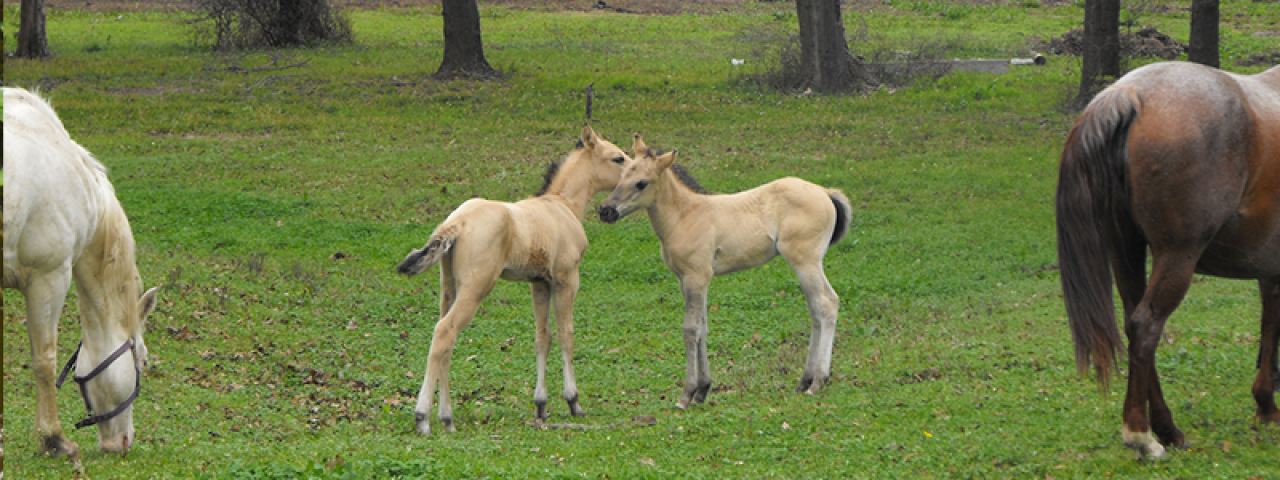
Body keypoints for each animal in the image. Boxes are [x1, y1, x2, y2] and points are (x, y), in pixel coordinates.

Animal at [397, 125, 628, 436]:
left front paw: (541, 404)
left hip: (449, 288)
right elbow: (566, 335)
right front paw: (573, 400)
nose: (639, 178)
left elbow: (543, 336)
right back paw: (423, 417)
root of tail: (456, 222)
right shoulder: (567, 279)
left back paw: (447, 418)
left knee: (445, 339)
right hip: (476, 288)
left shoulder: (539, 283)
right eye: (618, 158)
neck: (562, 205)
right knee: (445, 332)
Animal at [598, 135, 851, 408]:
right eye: (622, 173)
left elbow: (690, 329)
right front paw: (703, 390)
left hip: (805, 262)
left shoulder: (696, 277)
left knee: (826, 305)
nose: (605, 211)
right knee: (817, 310)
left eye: (641, 183)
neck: (685, 215)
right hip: (808, 265)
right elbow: (702, 326)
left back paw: (818, 381)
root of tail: (825, 192)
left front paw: (686, 394)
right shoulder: (687, 280)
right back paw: (805, 380)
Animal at [1056, 61, 1280, 460]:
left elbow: (1270, 319)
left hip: (1125, 250)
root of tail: (1130, 93)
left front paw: (1265, 402)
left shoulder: (1268, 266)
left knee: (1134, 323)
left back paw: (1166, 430)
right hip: (1177, 257)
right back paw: (1141, 434)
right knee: (1146, 325)